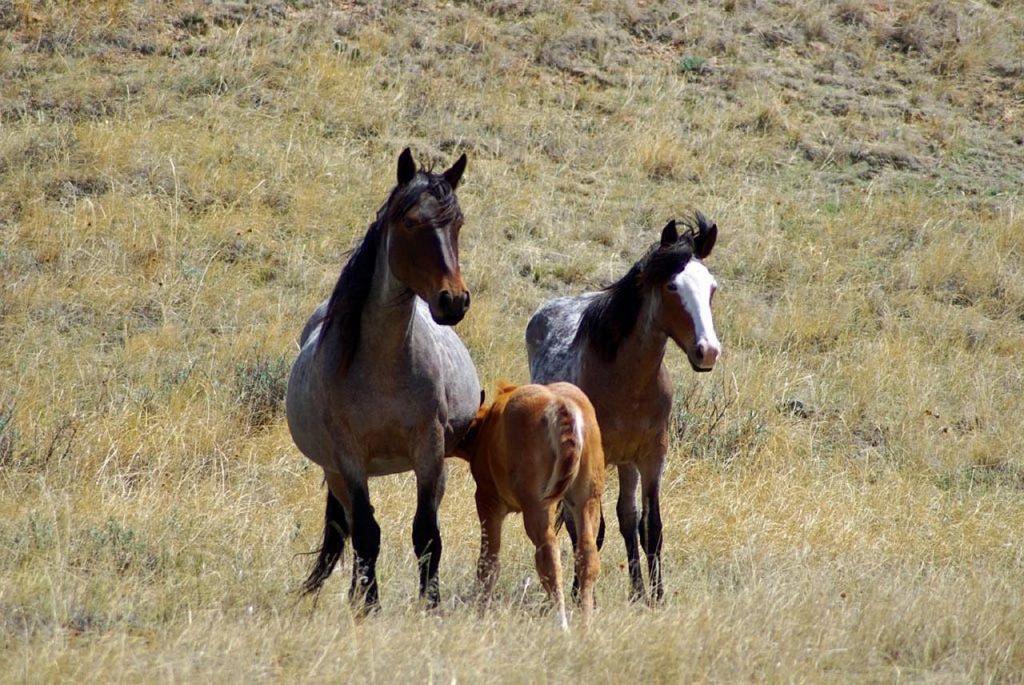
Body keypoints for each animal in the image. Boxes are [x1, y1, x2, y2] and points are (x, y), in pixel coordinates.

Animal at [286, 148, 480, 611]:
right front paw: (370, 607)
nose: (454, 300)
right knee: (352, 528)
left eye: (458, 222)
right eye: (409, 222)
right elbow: (367, 535)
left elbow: (426, 534)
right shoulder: (350, 458)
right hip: (336, 473)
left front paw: (431, 605)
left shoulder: (429, 450)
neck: (383, 370)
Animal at [452, 381, 605, 630]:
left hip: (538, 507)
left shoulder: (488, 502)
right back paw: (586, 623)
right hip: (587, 500)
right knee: (587, 554)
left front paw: (480, 616)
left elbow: (489, 562)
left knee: (549, 556)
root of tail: (562, 406)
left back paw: (562, 623)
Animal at [525, 213, 720, 603]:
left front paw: (655, 596)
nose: (708, 351)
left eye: (712, 288)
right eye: (672, 286)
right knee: (579, 523)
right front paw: (582, 593)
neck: (627, 383)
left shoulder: (652, 455)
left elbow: (650, 527)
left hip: (627, 463)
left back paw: (637, 590)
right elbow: (590, 529)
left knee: (626, 519)